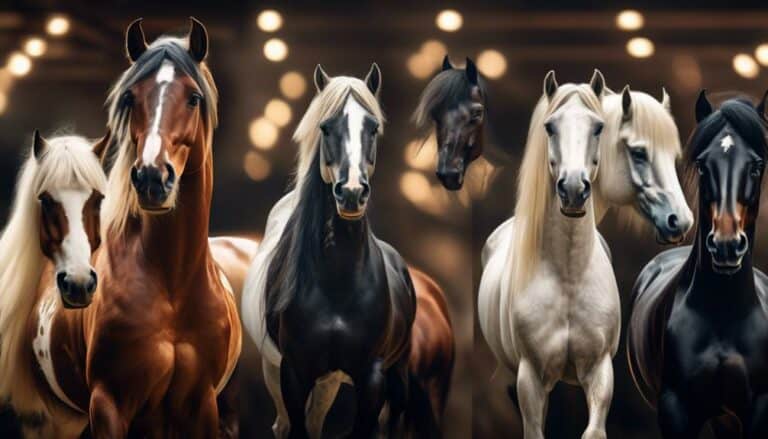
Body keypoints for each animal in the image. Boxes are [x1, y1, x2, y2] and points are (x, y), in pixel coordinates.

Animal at [478, 71, 619, 439]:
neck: (568, 276)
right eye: (550, 127)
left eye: (598, 127)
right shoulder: (530, 377)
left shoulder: (600, 369)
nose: (573, 189)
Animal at [627, 91, 768, 438]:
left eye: (757, 166)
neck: (723, 313)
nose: (727, 245)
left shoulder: (758, 410)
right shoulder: (676, 411)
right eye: (704, 165)